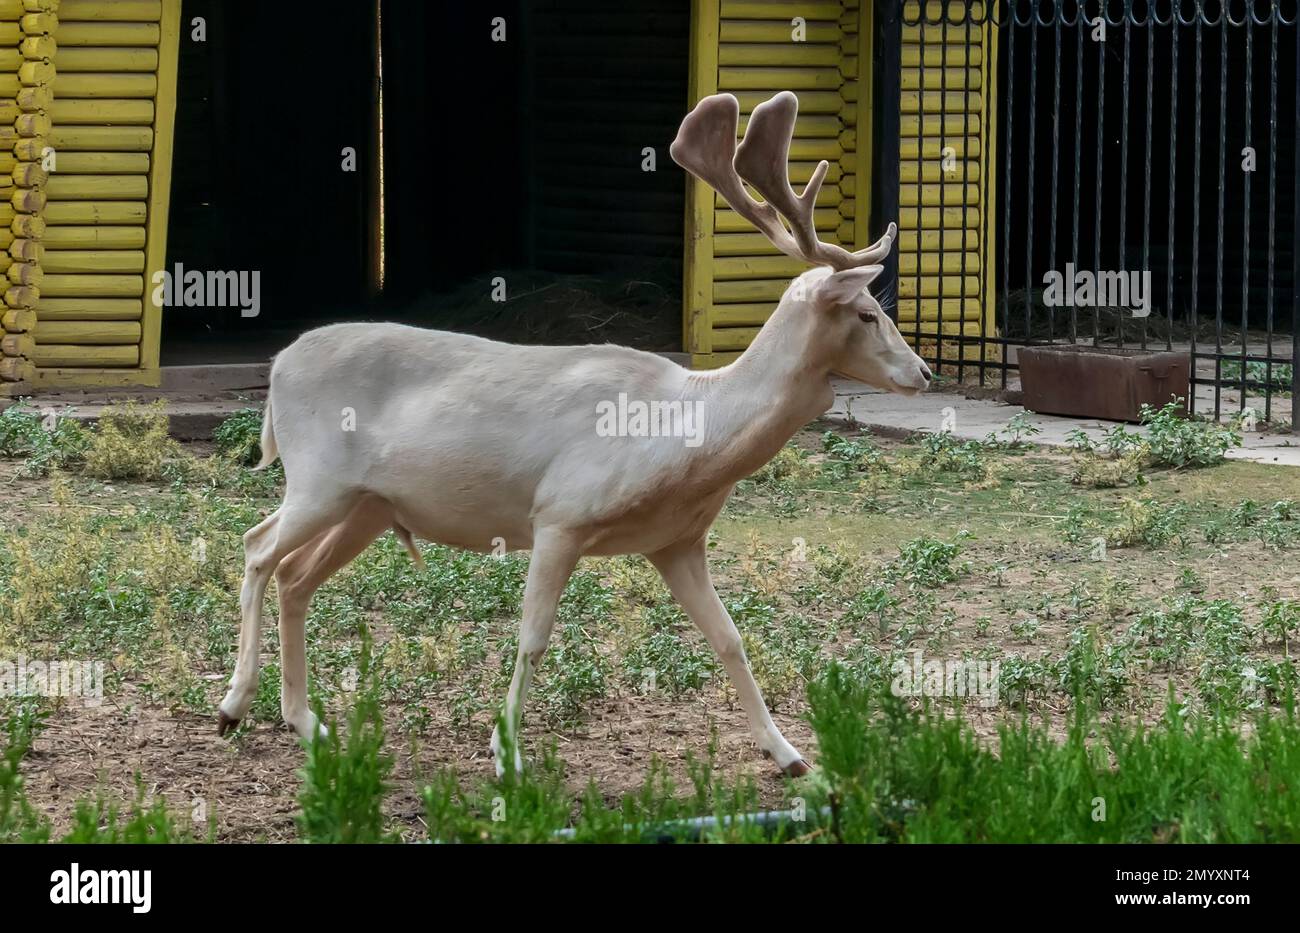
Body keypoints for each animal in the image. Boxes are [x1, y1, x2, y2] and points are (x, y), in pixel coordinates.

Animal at [216, 90, 931, 777]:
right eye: (867, 313)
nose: (923, 372)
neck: (686, 434)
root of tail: (277, 368)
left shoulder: (678, 541)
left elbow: (729, 637)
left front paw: (788, 754)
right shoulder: (560, 513)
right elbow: (532, 637)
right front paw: (506, 756)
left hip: (368, 505)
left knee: (294, 576)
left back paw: (306, 722)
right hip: (319, 479)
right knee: (257, 548)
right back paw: (231, 707)